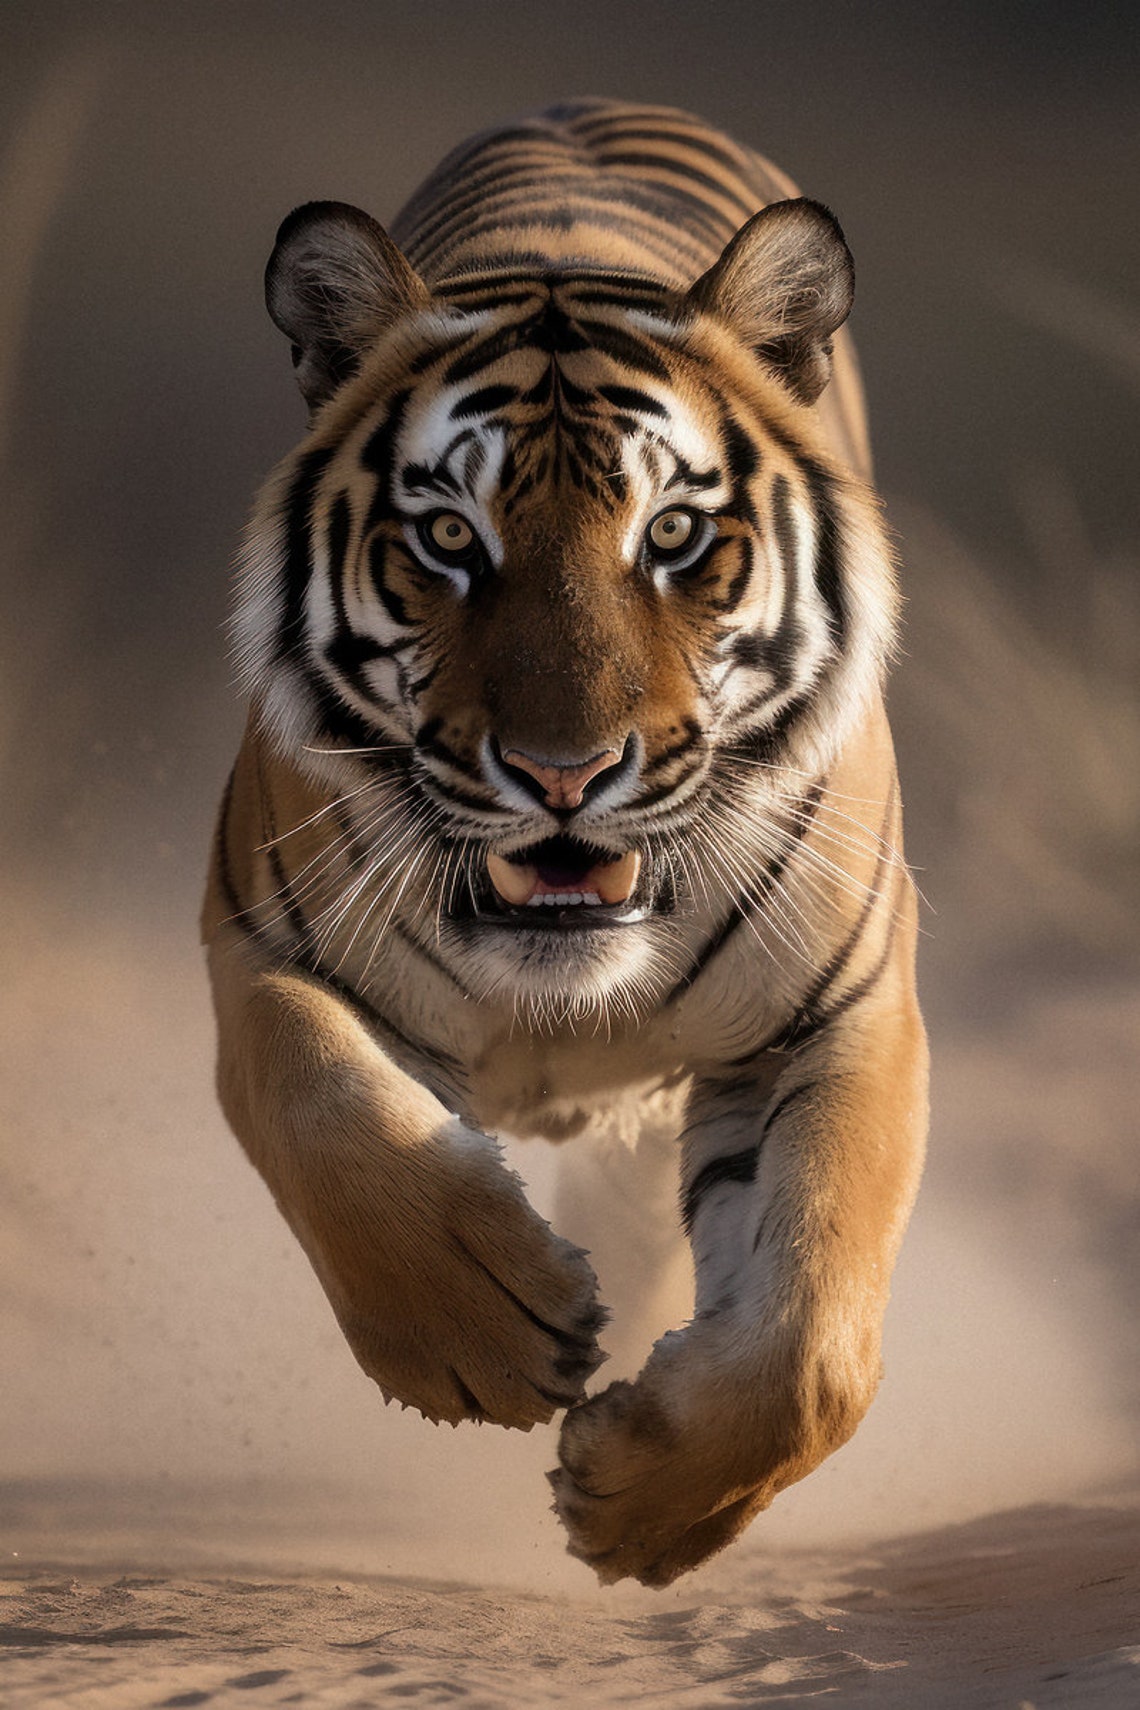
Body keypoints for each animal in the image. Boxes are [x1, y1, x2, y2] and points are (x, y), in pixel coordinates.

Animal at [202, 98, 928, 1588]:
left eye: (675, 534)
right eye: (445, 535)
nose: (564, 774)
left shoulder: (843, 1012)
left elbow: (813, 1336)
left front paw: (639, 1506)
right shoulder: (261, 939)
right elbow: (324, 1109)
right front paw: (486, 1337)